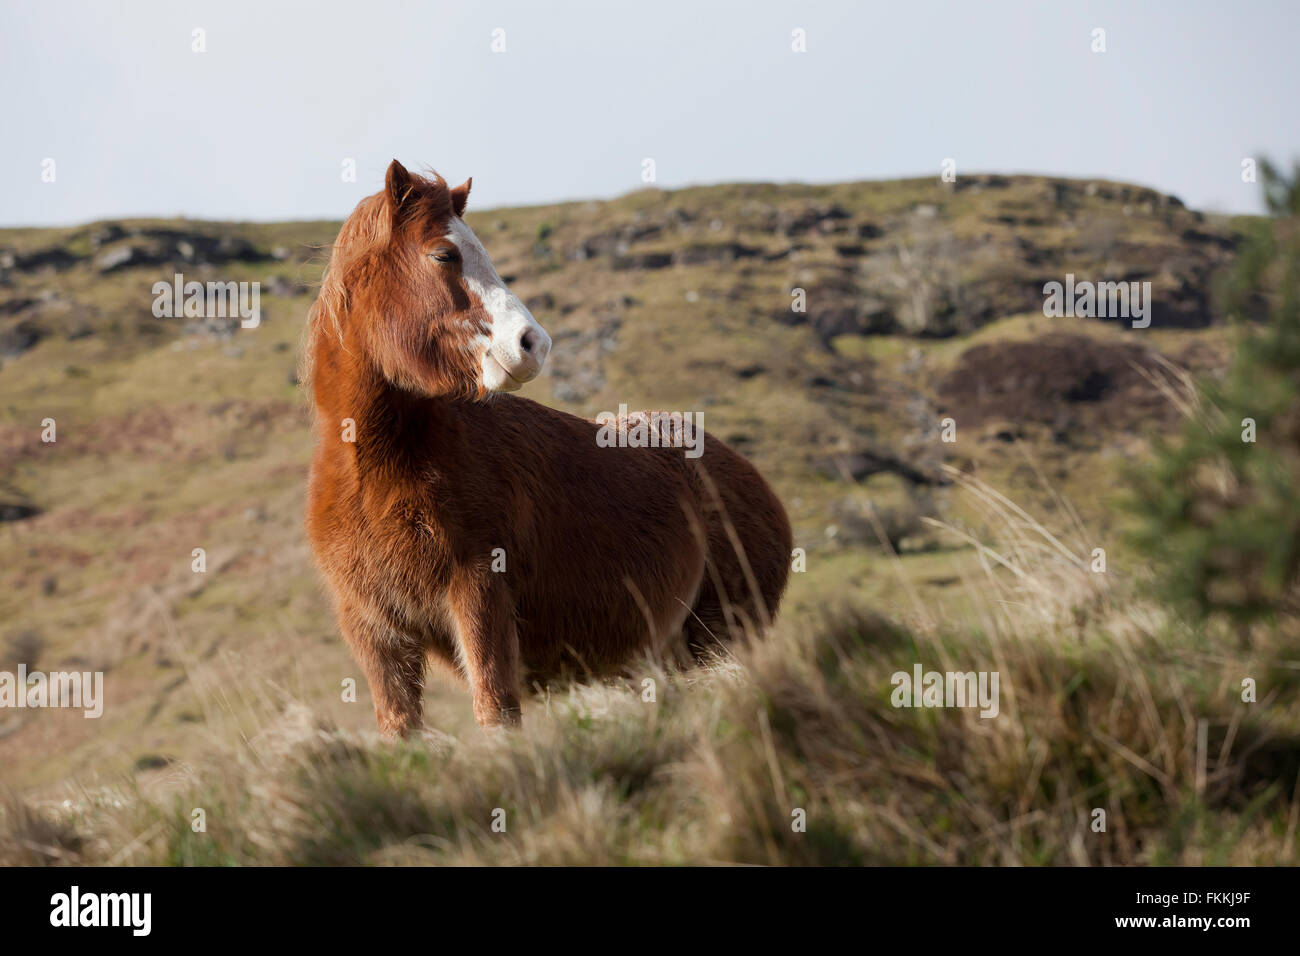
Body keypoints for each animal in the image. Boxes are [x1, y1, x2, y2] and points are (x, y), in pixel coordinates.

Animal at [304, 160, 792, 732]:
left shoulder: (480, 600)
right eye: (444, 254)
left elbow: (496, 712)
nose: (533, 344)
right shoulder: (374, 633)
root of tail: (754, 480)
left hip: (723, 641)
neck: (377, 476)